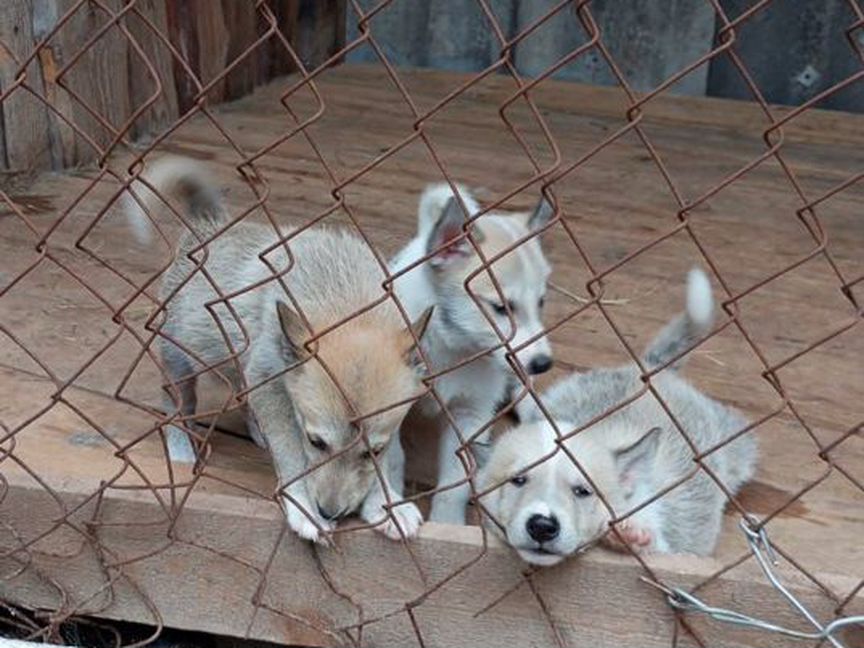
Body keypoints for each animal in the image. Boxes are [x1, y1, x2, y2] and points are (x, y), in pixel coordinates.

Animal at [129, 157, 432, 540]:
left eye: (372, 451)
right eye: (316, 443)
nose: (331, 512)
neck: (343, 298)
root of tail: (209, 226)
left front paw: (386, 503)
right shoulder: (268, 380)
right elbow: (290, 453)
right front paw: (304, 509)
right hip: (179, 363)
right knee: (179, 406)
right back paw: (181, 448)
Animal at [390, 181, 552, 520]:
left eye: (541, 302)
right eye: (501, 308)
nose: (544, 363)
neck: (451, 348)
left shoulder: (469, 414)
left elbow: (454, 483)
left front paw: (445, 523)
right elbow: (393, 458)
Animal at [480, 270, 756, 564]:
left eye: (583, 491)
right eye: (518, 480)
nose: (542, 526)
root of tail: (649, 367)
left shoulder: (668, 546)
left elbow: (657, 543)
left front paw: (629, 536)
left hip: (735, 445)